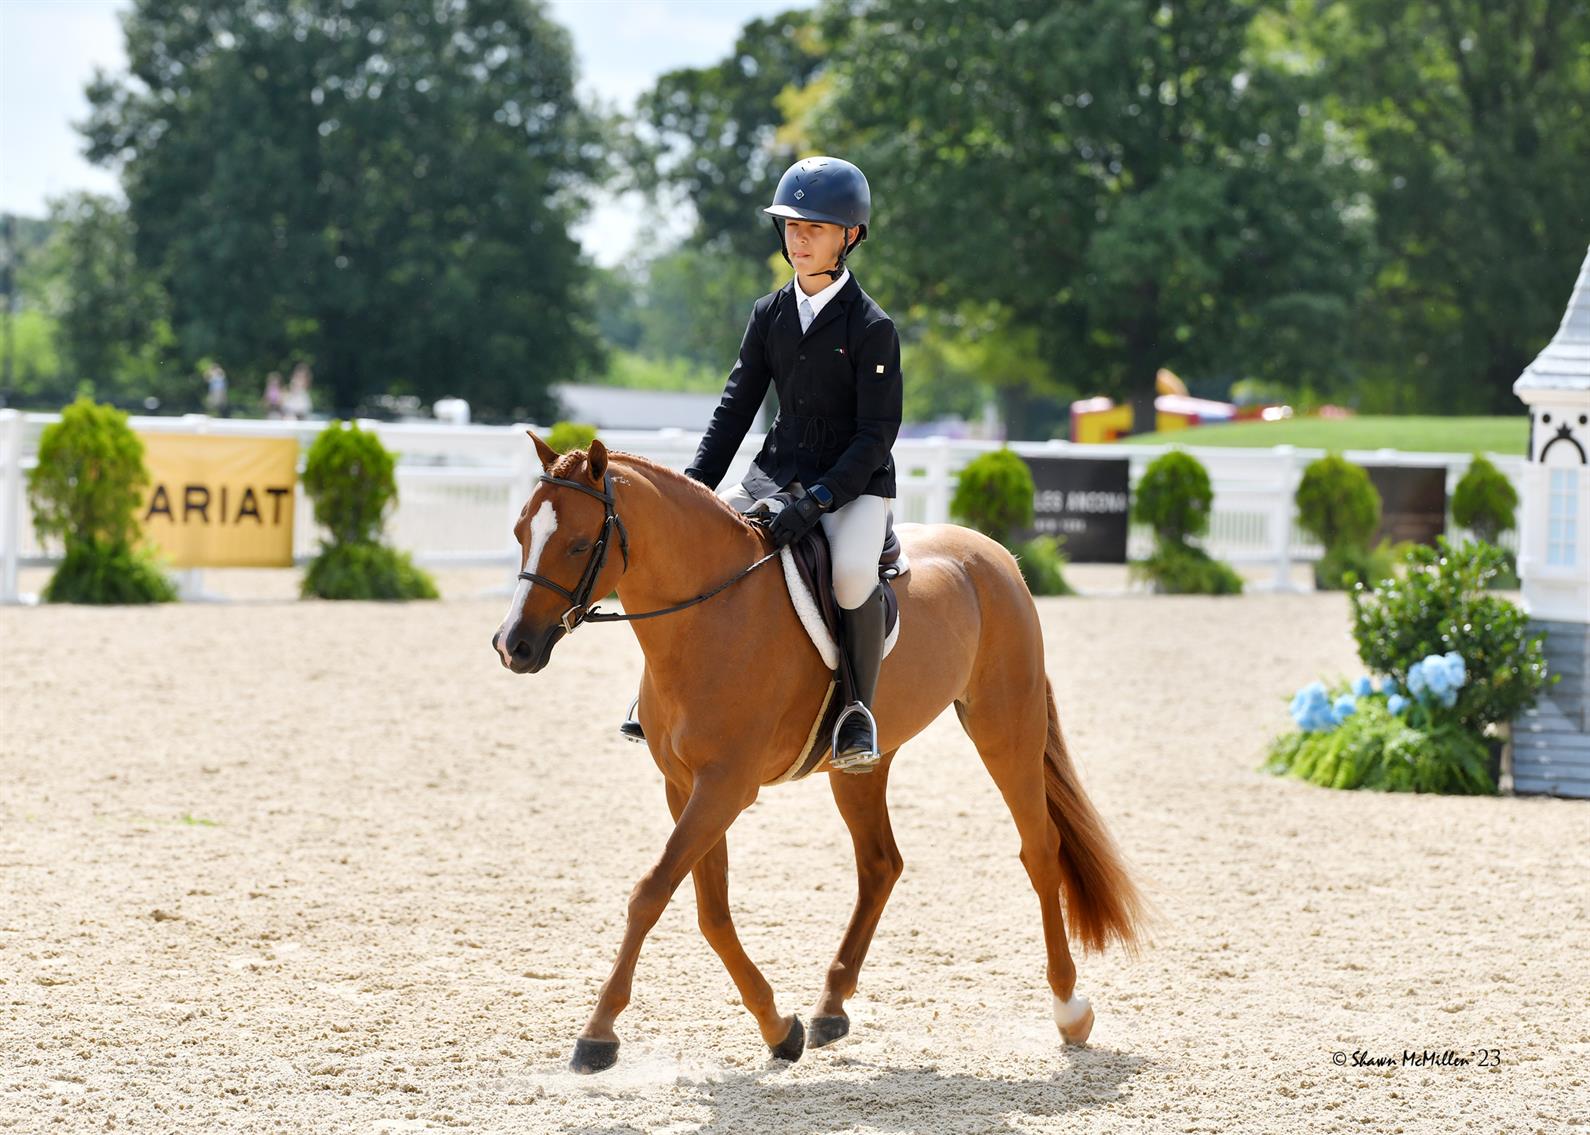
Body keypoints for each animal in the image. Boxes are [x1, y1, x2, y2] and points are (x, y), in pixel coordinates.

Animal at [492, 434, 1145, 1073]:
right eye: (521, 532)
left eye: (579, 544)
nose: (513, 647)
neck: (708, 618)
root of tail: (995, 557)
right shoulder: (686, 786)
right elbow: (710, 909)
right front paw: (780, 1029)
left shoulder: (726, 787)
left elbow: (651, 893)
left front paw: (598, 1033)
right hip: (860, 767)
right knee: (881, 864)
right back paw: (831, 1007)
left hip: (1005, 729)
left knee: (1040, 852)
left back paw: (1069, 1009)